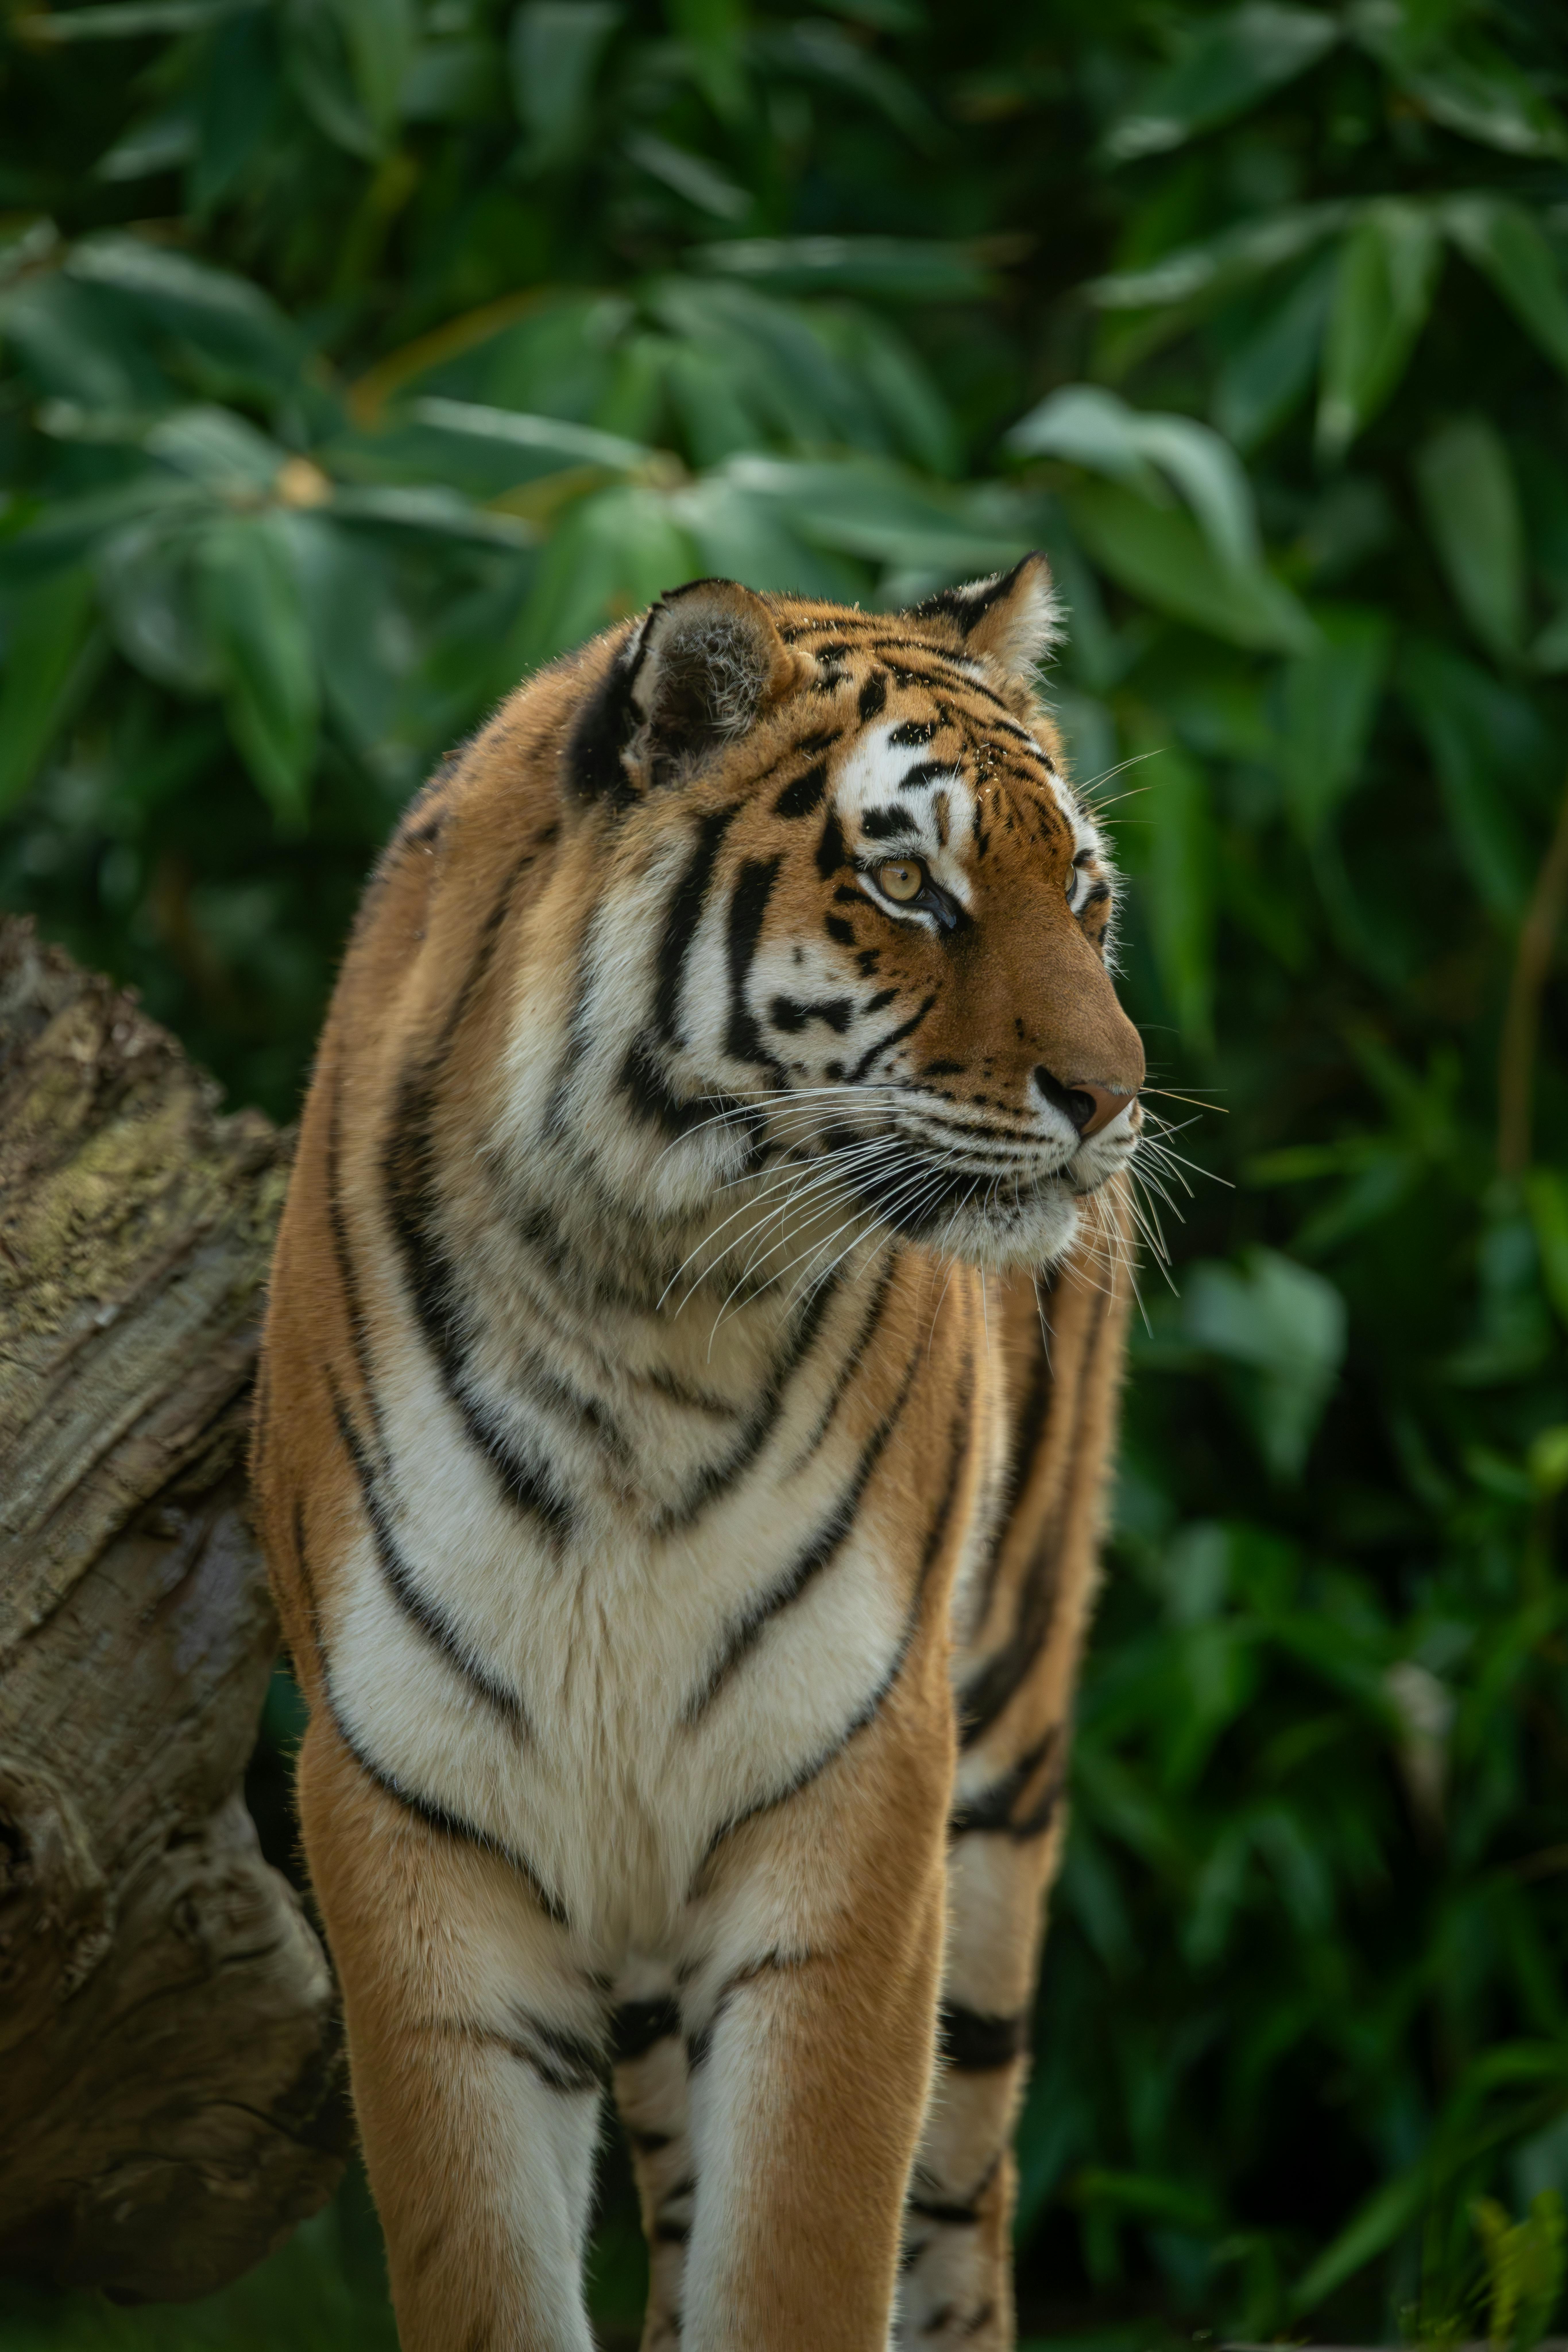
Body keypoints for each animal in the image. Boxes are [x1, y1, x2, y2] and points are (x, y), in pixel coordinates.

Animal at [252, 554, 1145, 2352]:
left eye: (1082, 896)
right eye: (911, 886)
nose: (1119, 1097)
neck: (638, 1313)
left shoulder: (852, 1790)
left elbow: (801, 2253)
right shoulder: (407, 1809)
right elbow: (486, 2272)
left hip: (1002, 1762)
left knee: (963, 2202)